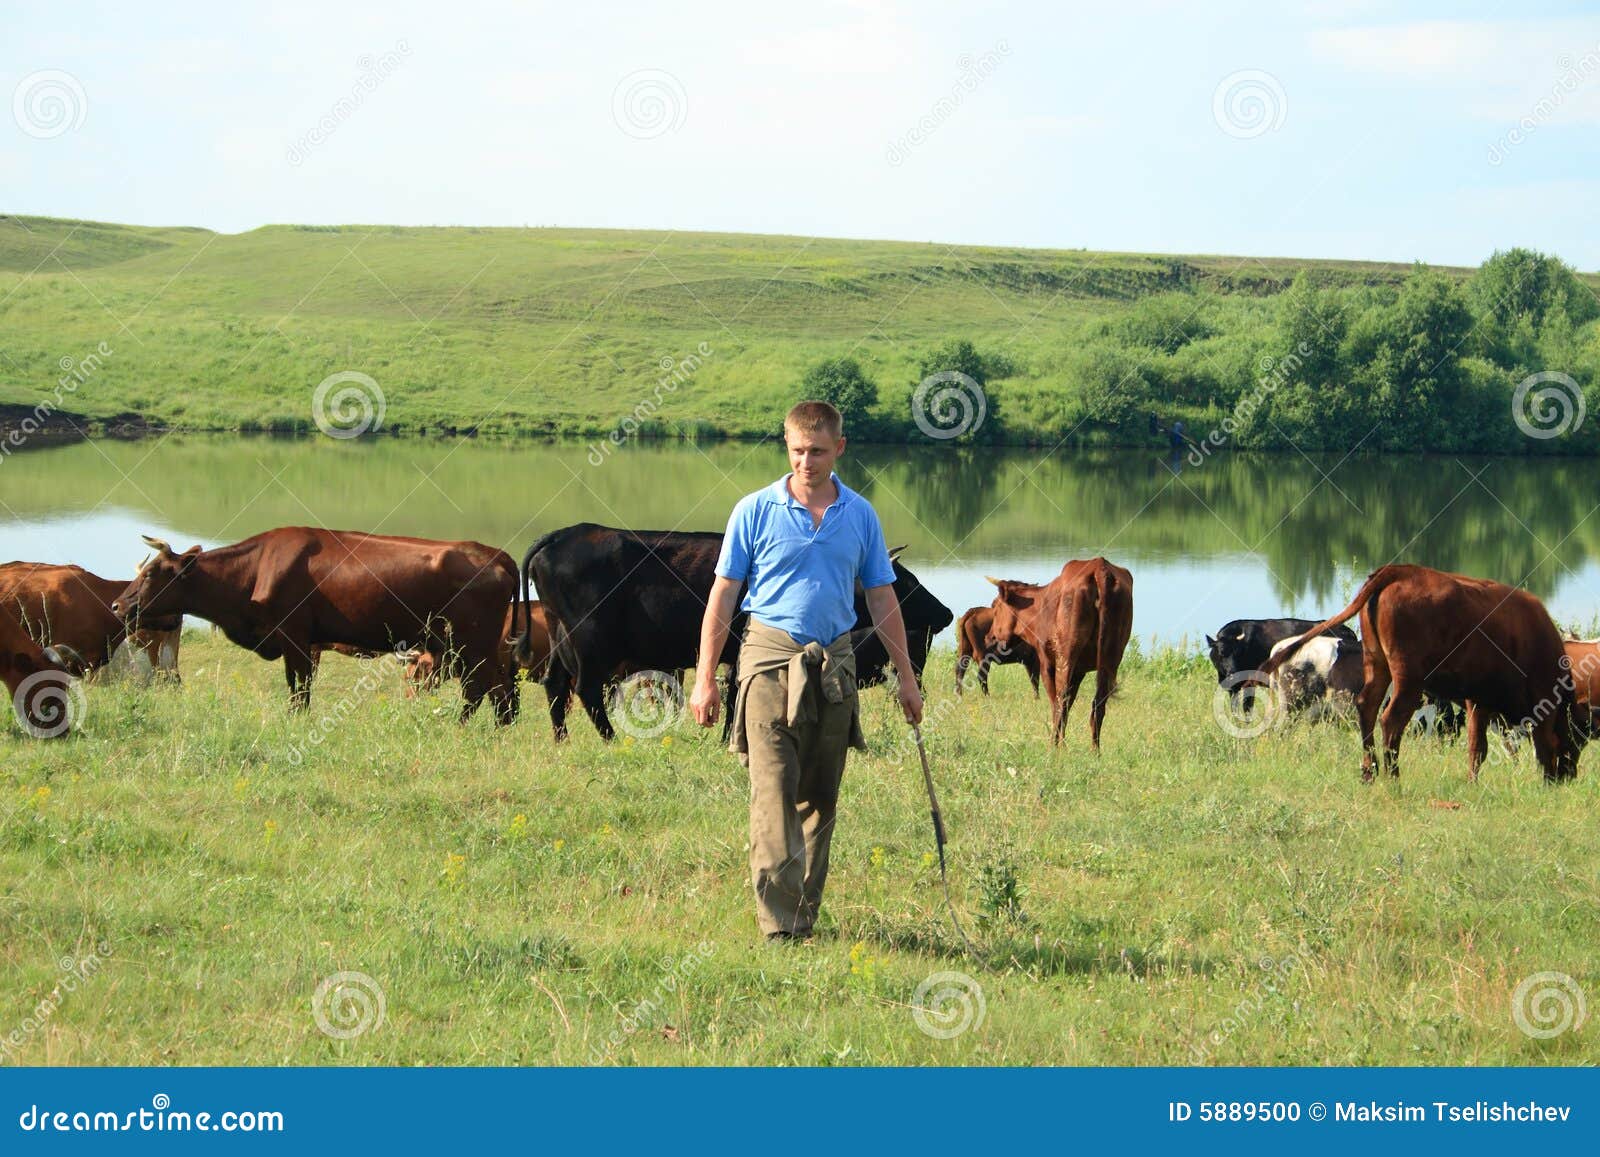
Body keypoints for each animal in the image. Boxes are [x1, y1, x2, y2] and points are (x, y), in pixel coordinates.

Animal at [113, 528, 519, 723]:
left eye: (151, 573)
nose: (118, 605)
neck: (259, 567)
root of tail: (495, 554)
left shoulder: (295, 637)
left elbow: (299, 686)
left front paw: (297, 718)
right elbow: (298, 685)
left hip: (473, 643)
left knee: (485, 690)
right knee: (496, 693)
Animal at [518, 524, 951, 742]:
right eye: (903, 580)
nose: (946, 613)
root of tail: (563, 534)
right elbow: (736, 694)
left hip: (561, 635)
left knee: (555, 684)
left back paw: (562, 742)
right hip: (590, 640)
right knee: (586, 689)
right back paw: (611, 740)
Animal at [983, 558, 1134, 749]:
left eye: (994, 606)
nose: (988, 637)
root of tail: (1099, 567)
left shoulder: (1046, 662)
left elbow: (1055, 701)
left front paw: (1058, 744)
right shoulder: (1080, 670)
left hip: (1066, 656)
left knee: (1060, 701)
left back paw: (1054, 746)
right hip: (1112, 658)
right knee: (1098, 705)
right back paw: (1095, 750)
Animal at [1261, 564, 1577, 782]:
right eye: (1572, 742)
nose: (1565, 778)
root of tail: (1402, 570)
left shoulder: (1478, 698)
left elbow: (1477, 745)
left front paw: (1472, 782)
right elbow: (1492, 745)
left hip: (1377, 665)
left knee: (1367, 708)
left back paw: (1369, 772)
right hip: (1407, 679)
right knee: (1391, 719)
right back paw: (1393, 777)